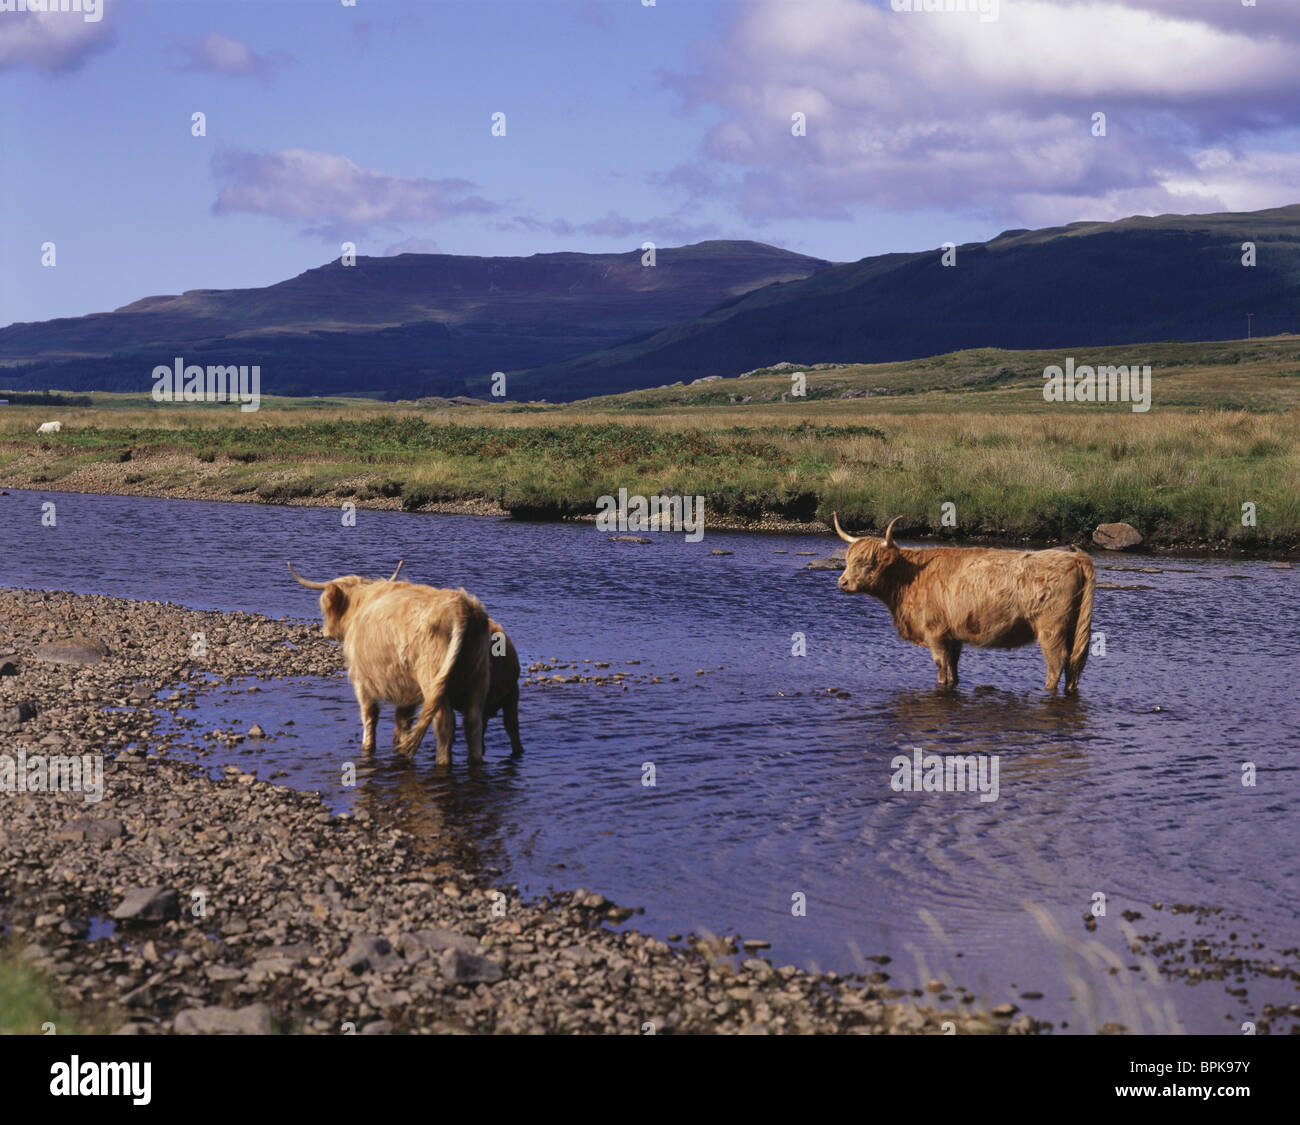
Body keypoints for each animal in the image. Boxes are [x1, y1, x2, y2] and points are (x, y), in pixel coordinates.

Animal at [288, 560, 491, 764]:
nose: (325, 631)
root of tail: (459, 604)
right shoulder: (406, 688)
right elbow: (402, 720)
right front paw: (399, 744)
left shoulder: (361, 680)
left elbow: (369, 715)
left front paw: (367, 746)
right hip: (478, 679)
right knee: (473, 722)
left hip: (432, 679)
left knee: (444, 723)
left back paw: (442, 761)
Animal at [833, 514, 1095, 693]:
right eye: (849, 560)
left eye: (868, 563)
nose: (842, 582)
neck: (910, 578)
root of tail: (1074, 557)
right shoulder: (953, 634)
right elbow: (953, 665)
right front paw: (953, 683)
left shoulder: (935, 632)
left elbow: (940, 664)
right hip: (1073, 628)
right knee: (1074, 663)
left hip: (1051, 629)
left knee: (1057, 662)